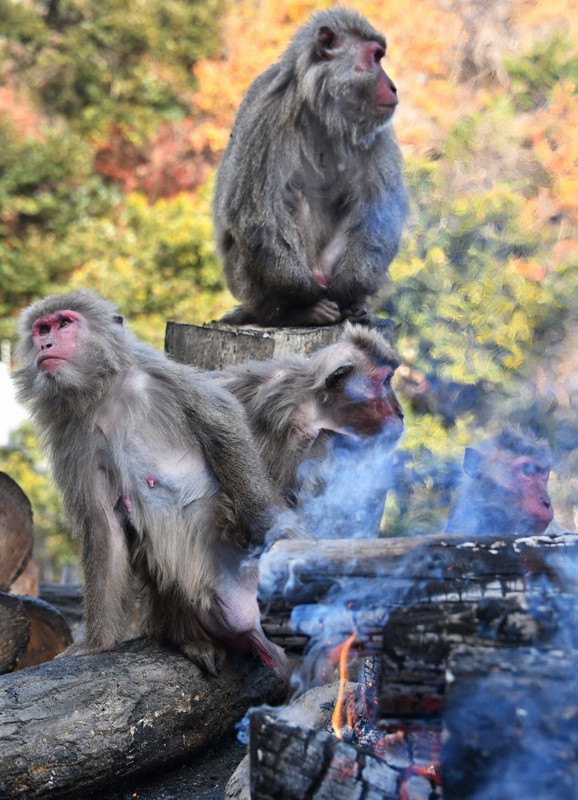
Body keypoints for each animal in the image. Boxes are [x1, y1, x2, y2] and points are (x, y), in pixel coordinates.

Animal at [13, 290, 291, 677]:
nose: (46, 344)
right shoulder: (72, 432)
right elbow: (102, 526)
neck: (104, 393)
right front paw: (96, 643)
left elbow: (224, 426)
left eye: (64, 323)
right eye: (42, 329)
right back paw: (194, 640)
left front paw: (263, 527)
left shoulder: (159, 375)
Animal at [213, 8, 408, 327]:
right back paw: (299, 310)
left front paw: (347, 290)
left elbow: (379, 211)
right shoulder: (271, 112)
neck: (323, 108)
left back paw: (354, 305)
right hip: (249, 285)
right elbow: (254, 215)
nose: (393, 87)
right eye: (375, 57)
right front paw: (305, 296)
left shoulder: (376, 133)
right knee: (290, 197)